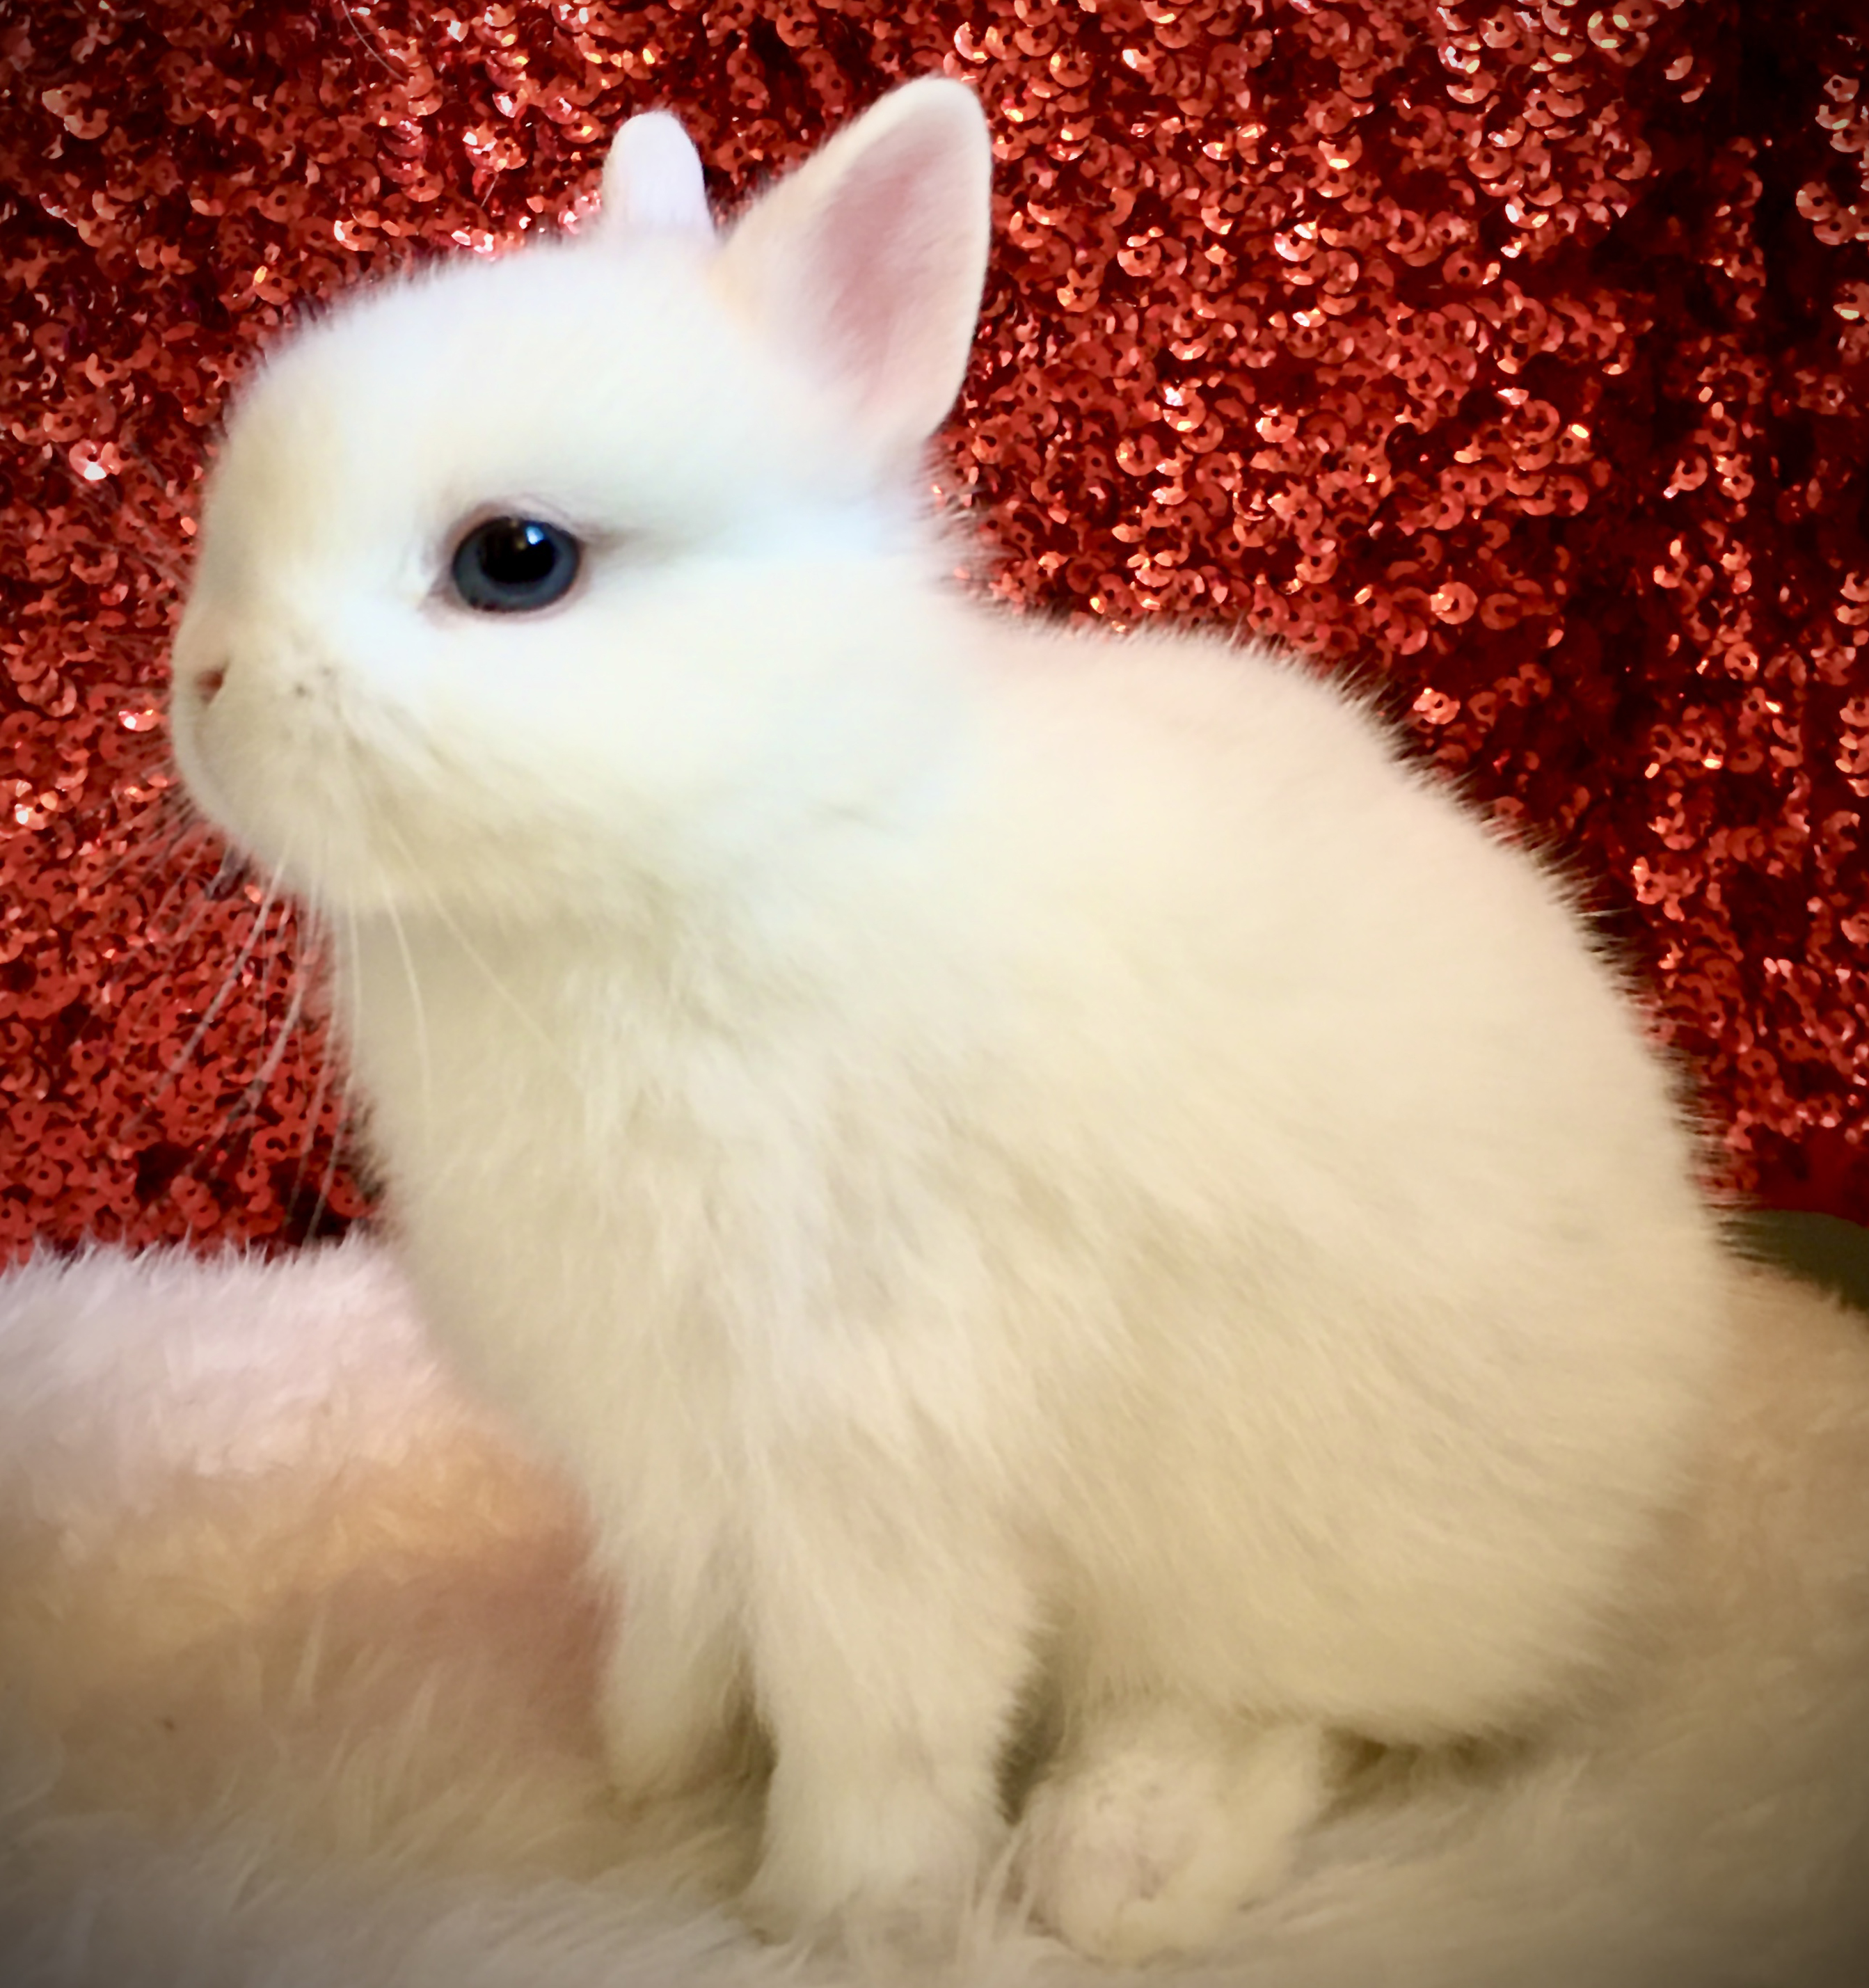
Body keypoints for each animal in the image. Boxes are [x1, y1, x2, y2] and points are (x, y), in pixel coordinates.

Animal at [168, 77, 1735, 1967]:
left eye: (514, 563)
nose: (203, 685)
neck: (729, 842)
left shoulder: (877, 1467)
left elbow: (882, 1726)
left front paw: (836, 1919)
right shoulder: (676, 1475)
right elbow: (681, 1636)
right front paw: (642, 1774)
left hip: (1303, 1551)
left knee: (1276, 1710)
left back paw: (1120, 1863)